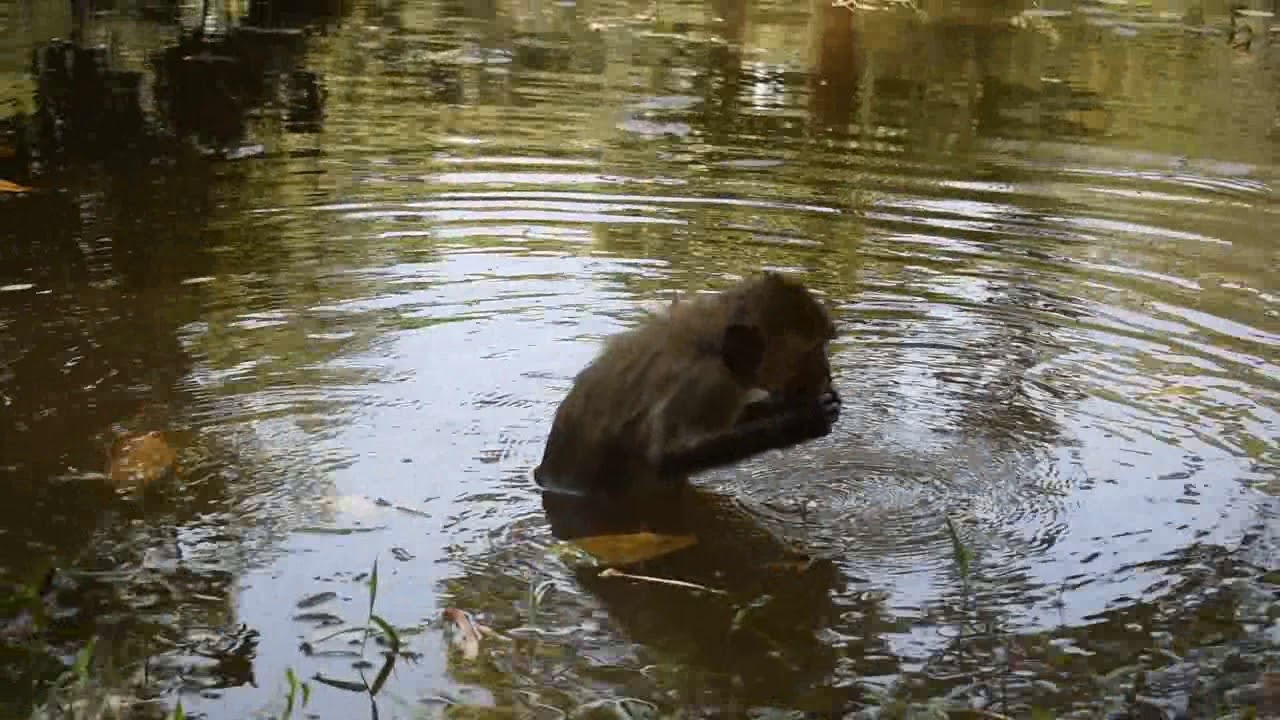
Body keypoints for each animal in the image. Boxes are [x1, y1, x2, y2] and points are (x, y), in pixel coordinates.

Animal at [534, 271, 841, 494]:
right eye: (815, 350)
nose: (827, 373)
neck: (713, 343)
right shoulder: (705, 379)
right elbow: (665, 455)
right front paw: (802, 422)